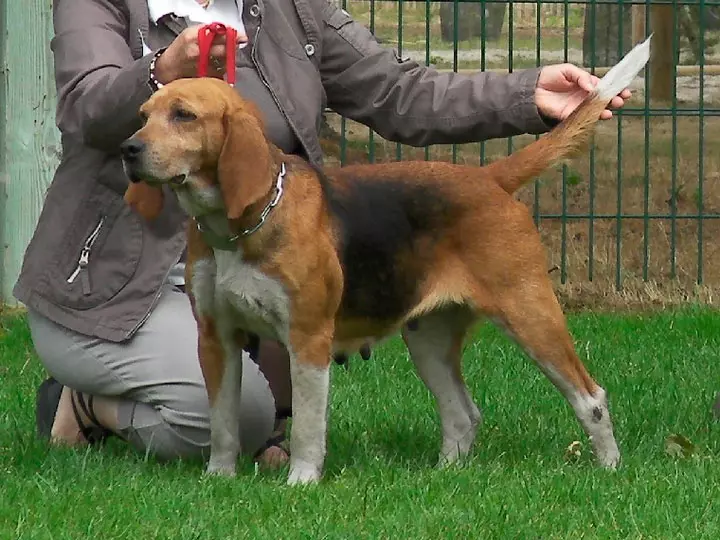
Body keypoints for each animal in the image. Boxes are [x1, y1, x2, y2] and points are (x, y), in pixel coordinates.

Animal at [119, 38, 652, 486]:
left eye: (184, 115)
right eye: (142, 114)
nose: (129, 149)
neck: (237, 229)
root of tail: (489, 178)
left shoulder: (308, 340)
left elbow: (308, 426)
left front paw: (301, 483)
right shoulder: (217, 339)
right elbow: (224, 423)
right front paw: (219, 479)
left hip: (531, 316)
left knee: (591, 398)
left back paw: (609, 467)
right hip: (429, 339)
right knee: (463, 414)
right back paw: (443, 476)